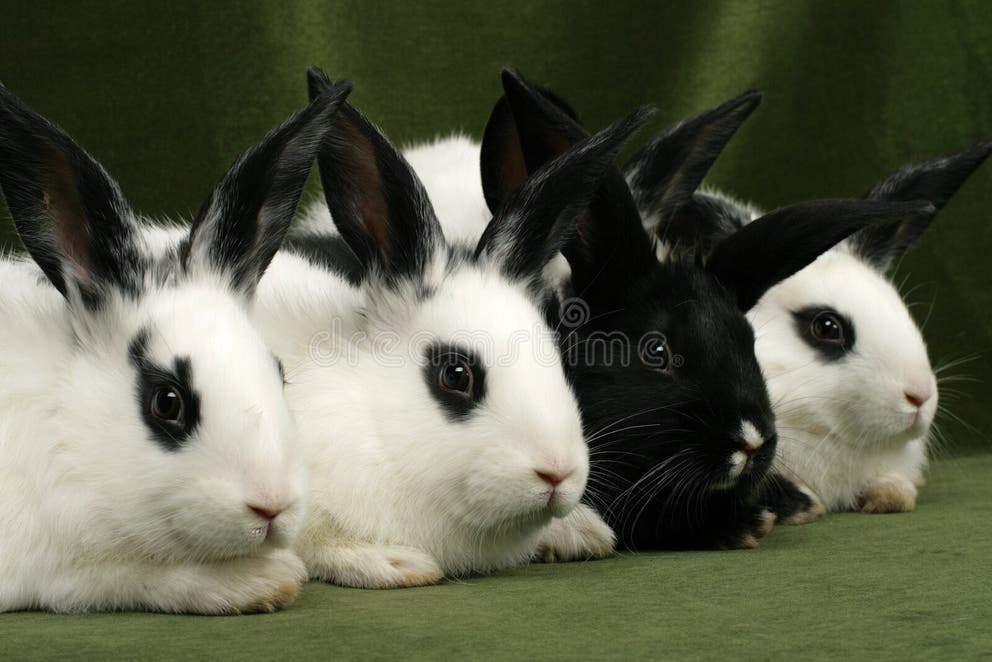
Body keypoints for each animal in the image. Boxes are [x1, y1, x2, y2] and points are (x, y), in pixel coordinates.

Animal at [0, 80, 352, 613]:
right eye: (167, 403)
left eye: (279, 374)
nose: (272, 505)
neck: (66, 428)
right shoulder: (70, 571)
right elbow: (161, 578)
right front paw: (269, 580)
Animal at [246, 67, 654, 589]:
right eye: (456, 375)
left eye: (557, 357)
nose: (557, 473)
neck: (376, 424)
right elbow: (318, 541)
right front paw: (392, 564)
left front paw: (583, 533)